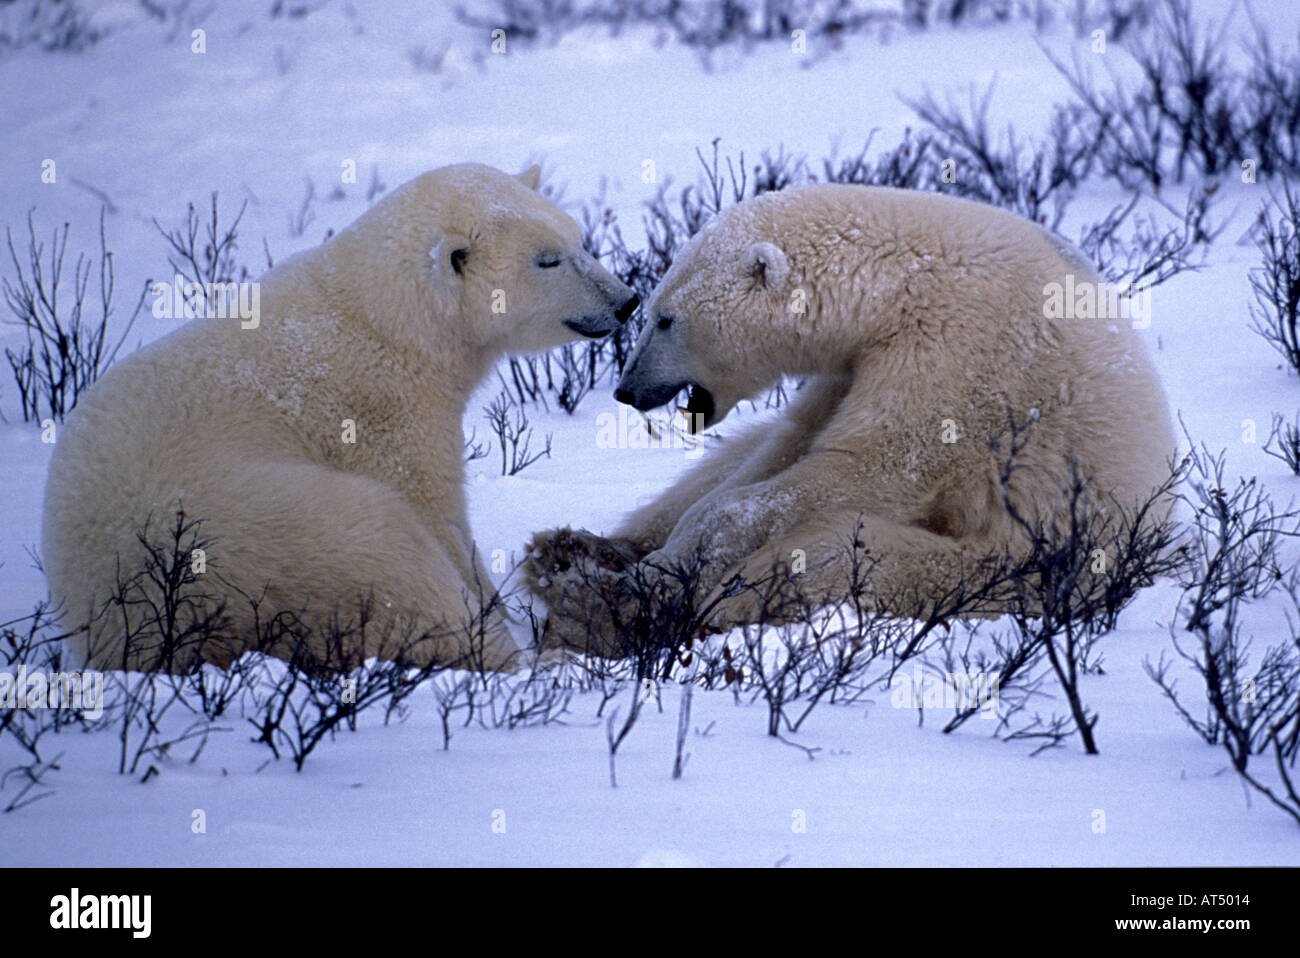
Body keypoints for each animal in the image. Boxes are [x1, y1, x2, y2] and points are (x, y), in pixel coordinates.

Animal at [43, 162, 638, 673]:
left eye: (578, 238)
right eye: (547, 260)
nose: (626, 300)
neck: (387, 321)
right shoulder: (384, 413)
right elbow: (438, 516)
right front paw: (501, 608)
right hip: (261, 537)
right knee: (392, 560)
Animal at [523, 184, 1176, 655]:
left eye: (664, 319)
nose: (627, 390)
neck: (899, 280)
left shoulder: (960, 352)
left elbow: (873, 468)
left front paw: (671, 569)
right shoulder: (850, 366)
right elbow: (785, 447)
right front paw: (658, 554)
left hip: (1026, 561)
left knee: (840, 557)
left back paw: (621, 609)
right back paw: (570, 550)